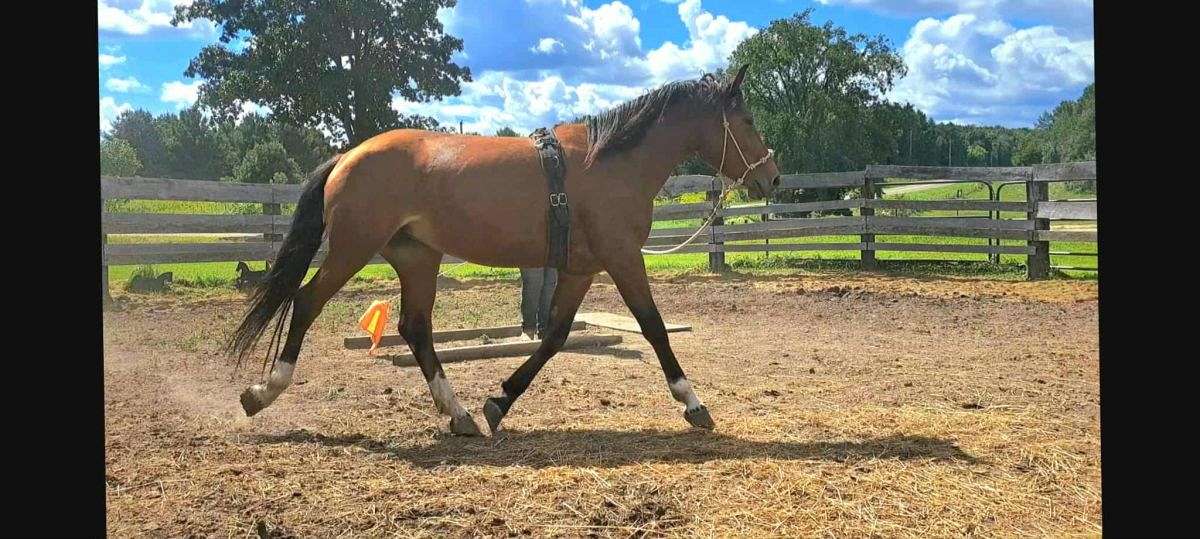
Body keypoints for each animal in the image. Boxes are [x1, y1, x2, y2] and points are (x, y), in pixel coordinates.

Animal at [229, 64, 780, 436]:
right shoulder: (622, 258)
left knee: (415, 329)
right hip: (352, 249)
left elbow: (554, 336)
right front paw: (693, 404)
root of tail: (348, 155)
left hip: (417, 258)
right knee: (306, 303)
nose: (772, 177)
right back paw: (263, 392)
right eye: (749, 120)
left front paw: (500, 401)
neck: (607, 163)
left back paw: (460, 414)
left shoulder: (581, 268)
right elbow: (654, 327)